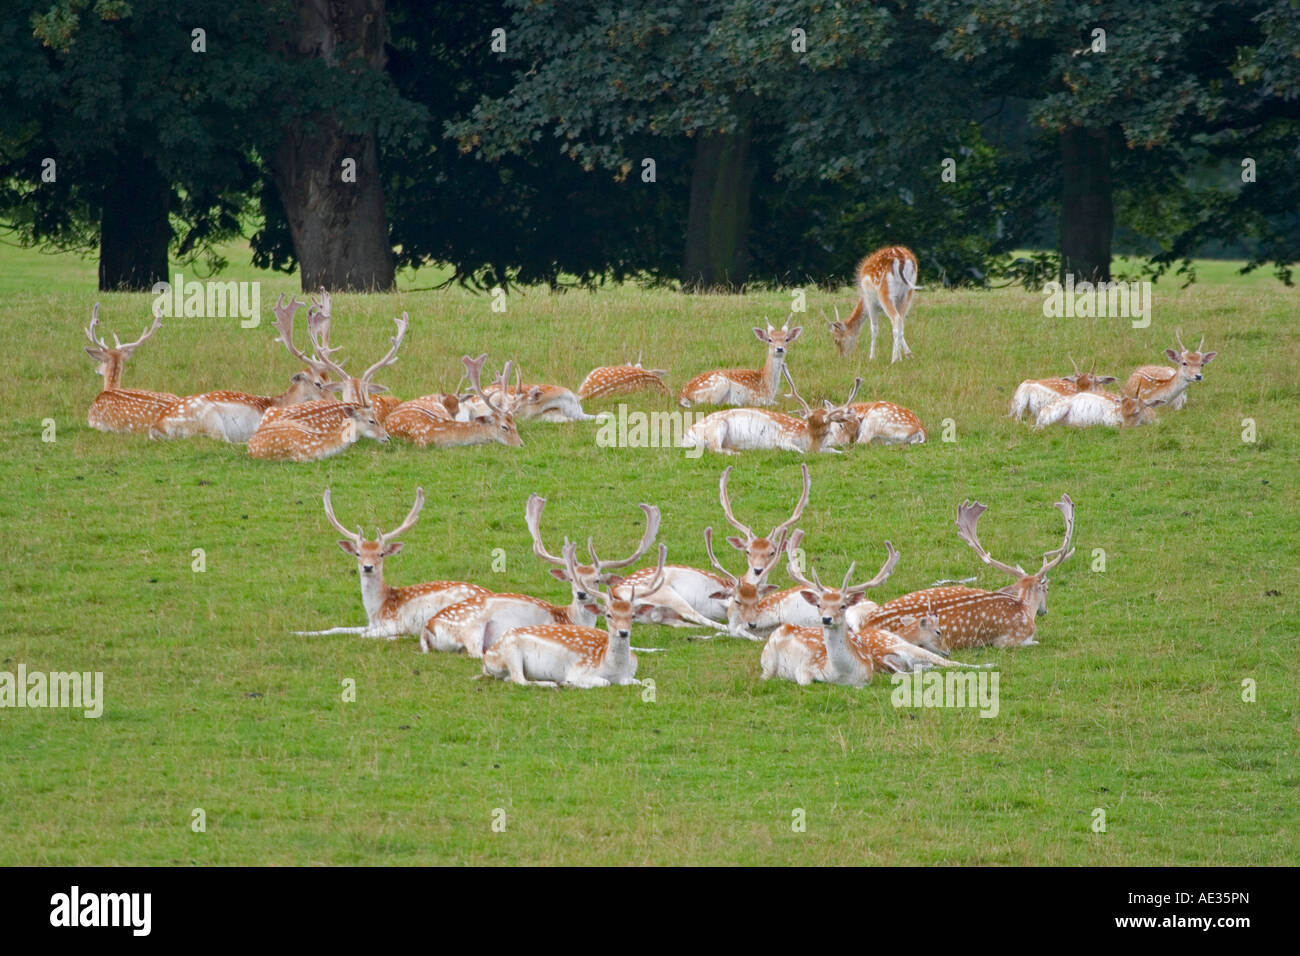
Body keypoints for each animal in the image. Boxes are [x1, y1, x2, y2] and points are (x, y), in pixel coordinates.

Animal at [151, 294, 332, 442]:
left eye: (331, 381)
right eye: (317, 383)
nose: (335, 403)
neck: (280, 403)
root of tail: (156, 428)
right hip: (211, 420)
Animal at [294, 487, 489, 639]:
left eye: (381, 554)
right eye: (358, 553)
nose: (368, 567)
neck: (377, 610)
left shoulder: (393, 623)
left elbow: (365, 635)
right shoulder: (370, 624)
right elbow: (338, 628)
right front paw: (298, 633)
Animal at [480, 543, 667, 688]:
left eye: (632, 615)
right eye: (609, 615)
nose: (623, 632)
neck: (615, 669)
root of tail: (487, 657)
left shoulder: (629, 676)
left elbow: (637, 681)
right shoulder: (580, 669)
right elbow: (603, 682)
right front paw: (568, 682)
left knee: (510, 678)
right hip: (510, 651)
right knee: (519, 679)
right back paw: (553, 683)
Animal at [759, 540, 900, 686]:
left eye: (843, 606)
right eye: (819, 605)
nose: (826, 619)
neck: (841, 676)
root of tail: (784, 626)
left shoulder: (866, 678)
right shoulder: (805, 667)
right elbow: (805, 681)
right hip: (767, 659)